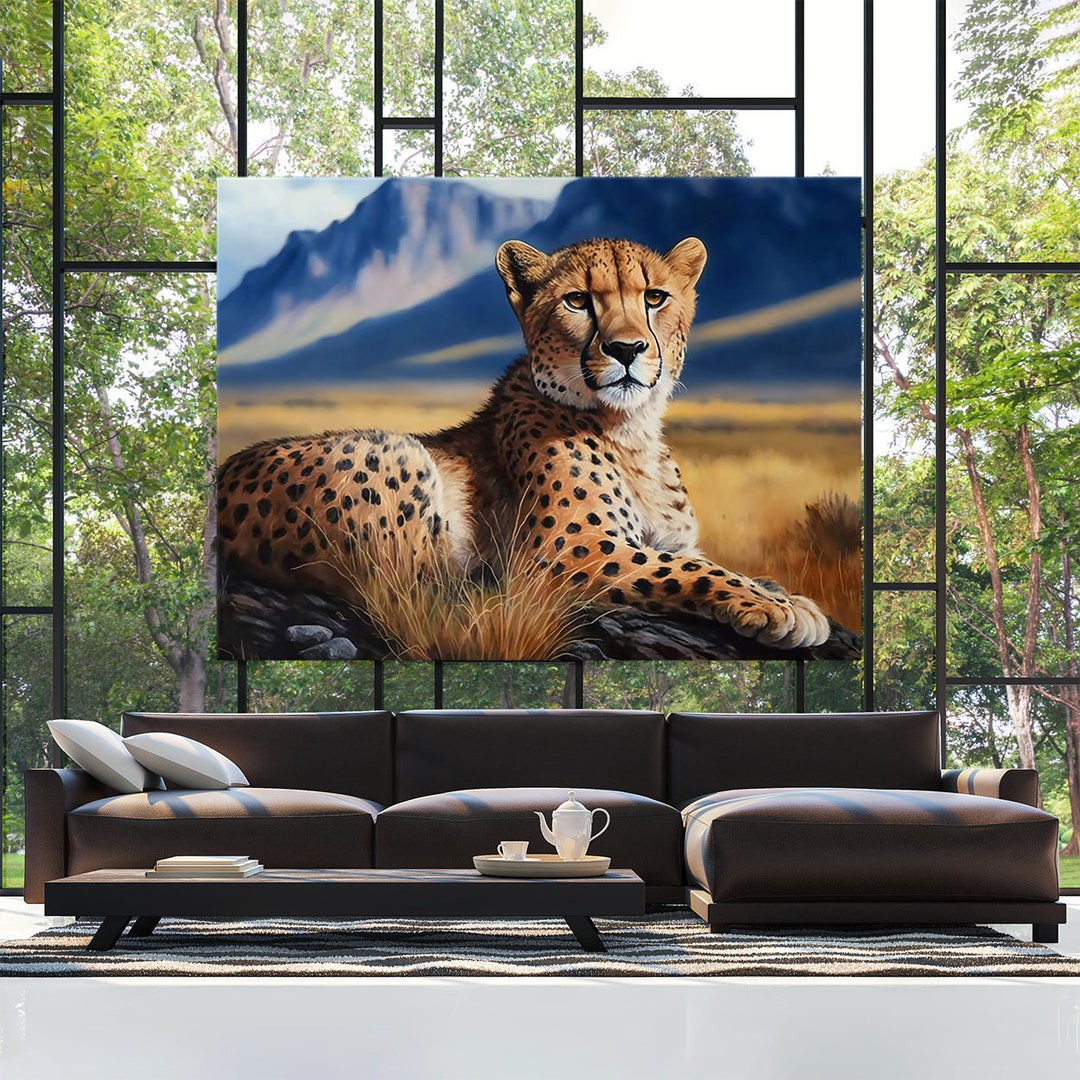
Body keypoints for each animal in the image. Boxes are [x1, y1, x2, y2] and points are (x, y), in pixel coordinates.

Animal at [217, 235, 831, 651]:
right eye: (578, 302)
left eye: (655, 297)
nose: (627, 348)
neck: (631, 430)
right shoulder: (567, 552)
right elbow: (686, 571)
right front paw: (775, 607)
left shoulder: (669, 541)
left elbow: (702, 561)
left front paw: (781, 594)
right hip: (398, 454)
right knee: (414, 598)